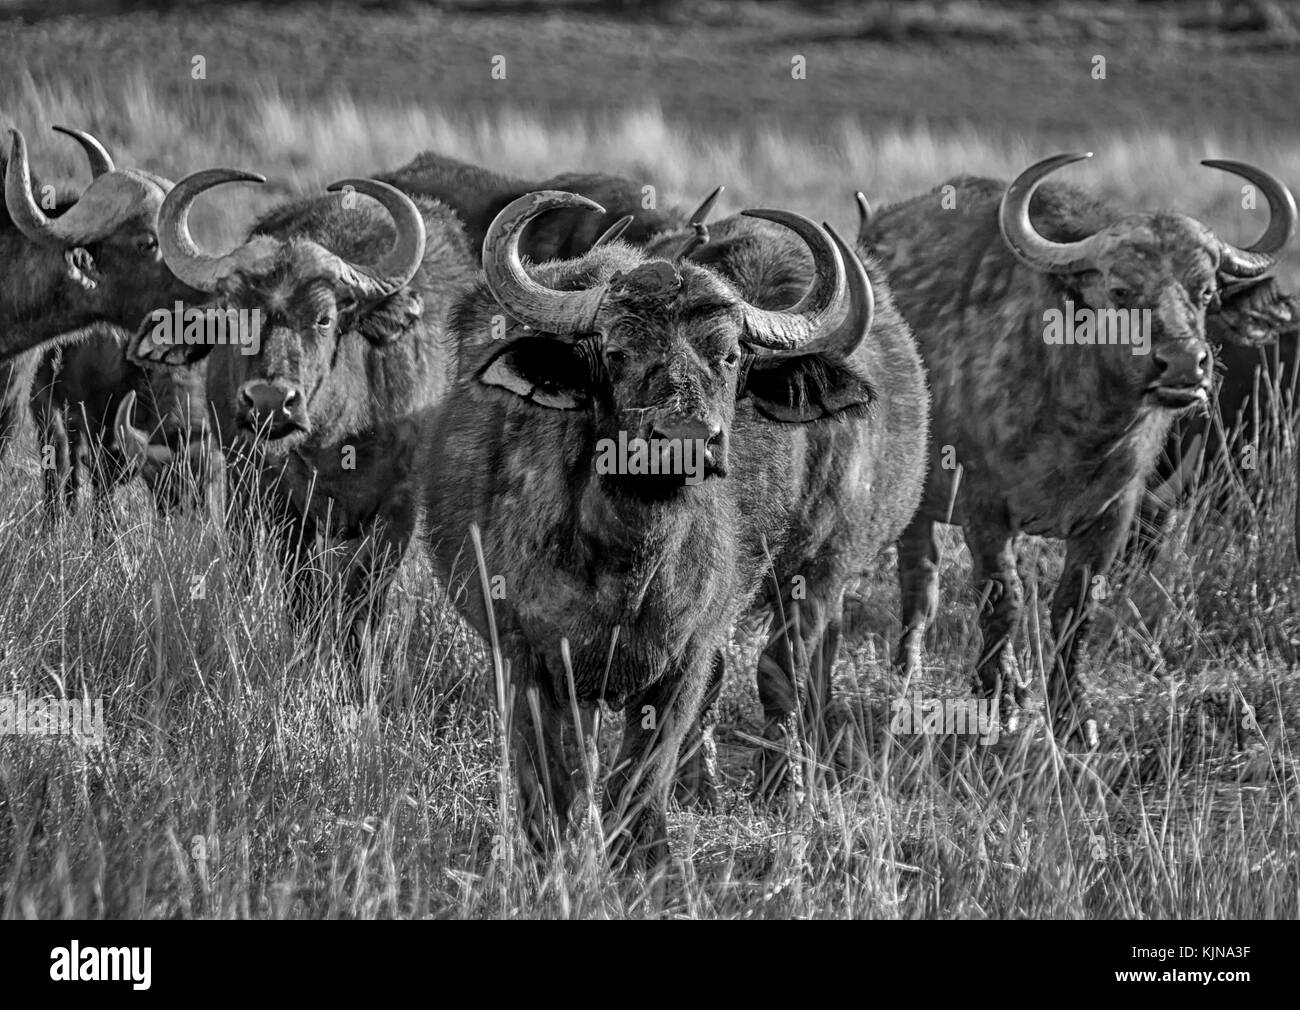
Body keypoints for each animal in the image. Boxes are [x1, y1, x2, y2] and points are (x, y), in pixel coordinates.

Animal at [423, 190, 926, 865]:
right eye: (616, 353)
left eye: (730, 356)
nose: (685, 440)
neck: (626, 558)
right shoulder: (526, 653)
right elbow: (553, 777)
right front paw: (553, 855)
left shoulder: (688, 655)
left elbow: (642, 773)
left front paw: (647, 853)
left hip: (817, 571)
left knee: (789, 672)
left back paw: (779, 788)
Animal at [859, 153, 1296, 743]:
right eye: (1121, 290)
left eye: (1204, 291)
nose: (1186, 364)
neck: (1080, 422)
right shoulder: (983, 508)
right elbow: (1003, 597)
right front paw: (1002, 699)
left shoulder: (1114, 516)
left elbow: (1075, 607)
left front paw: (1070, 713)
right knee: (920, 581)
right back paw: (908, 671)